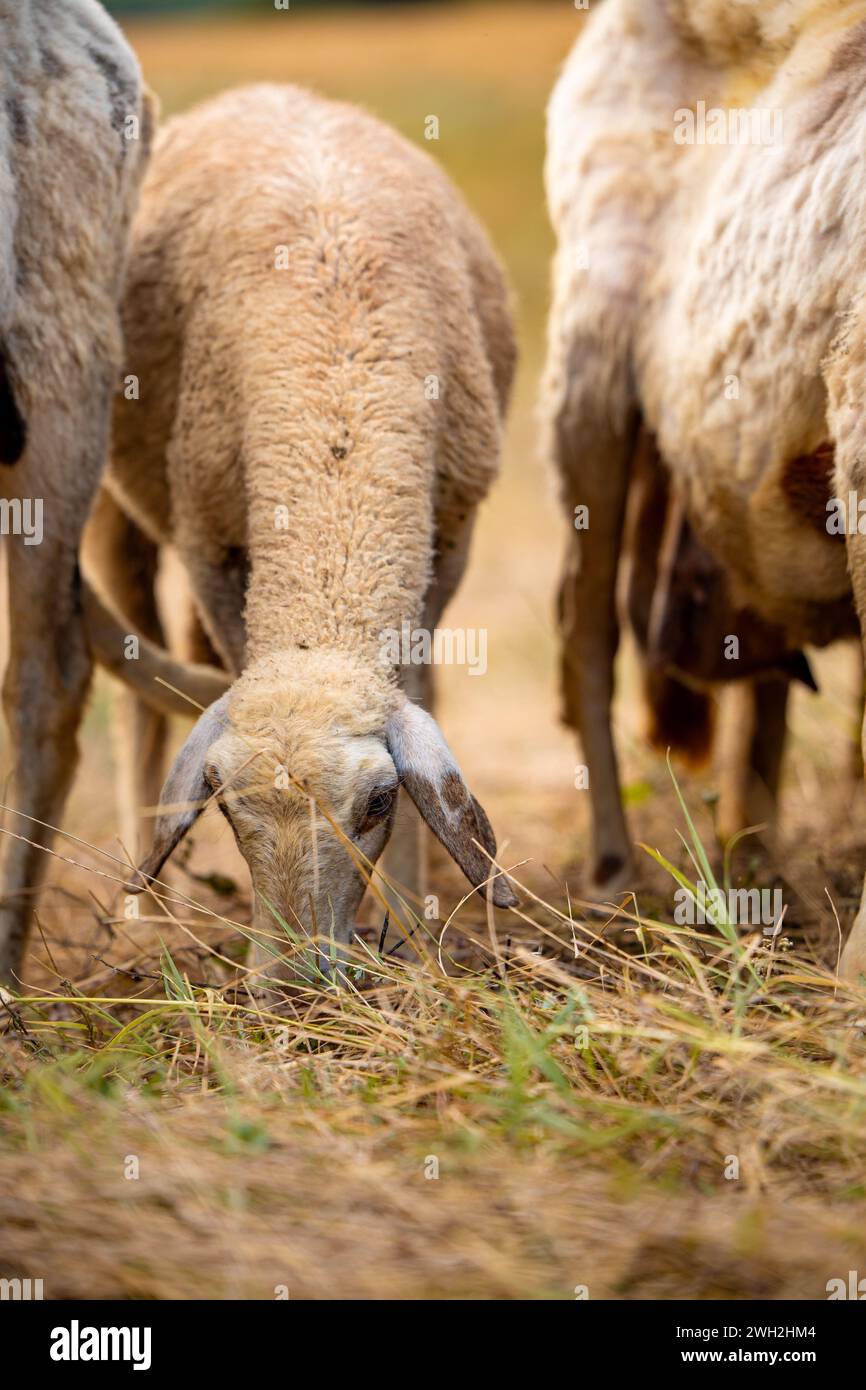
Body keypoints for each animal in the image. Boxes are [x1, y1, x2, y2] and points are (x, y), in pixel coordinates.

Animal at [83, 83, 518, 981]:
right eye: (222, 800)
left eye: (382, 800)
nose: (294, 986)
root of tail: (272, 93)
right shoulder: (209, 543)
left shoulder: (448, 542)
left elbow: (418, 689)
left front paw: (413, 929)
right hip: (121, 504)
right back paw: (151, 917)